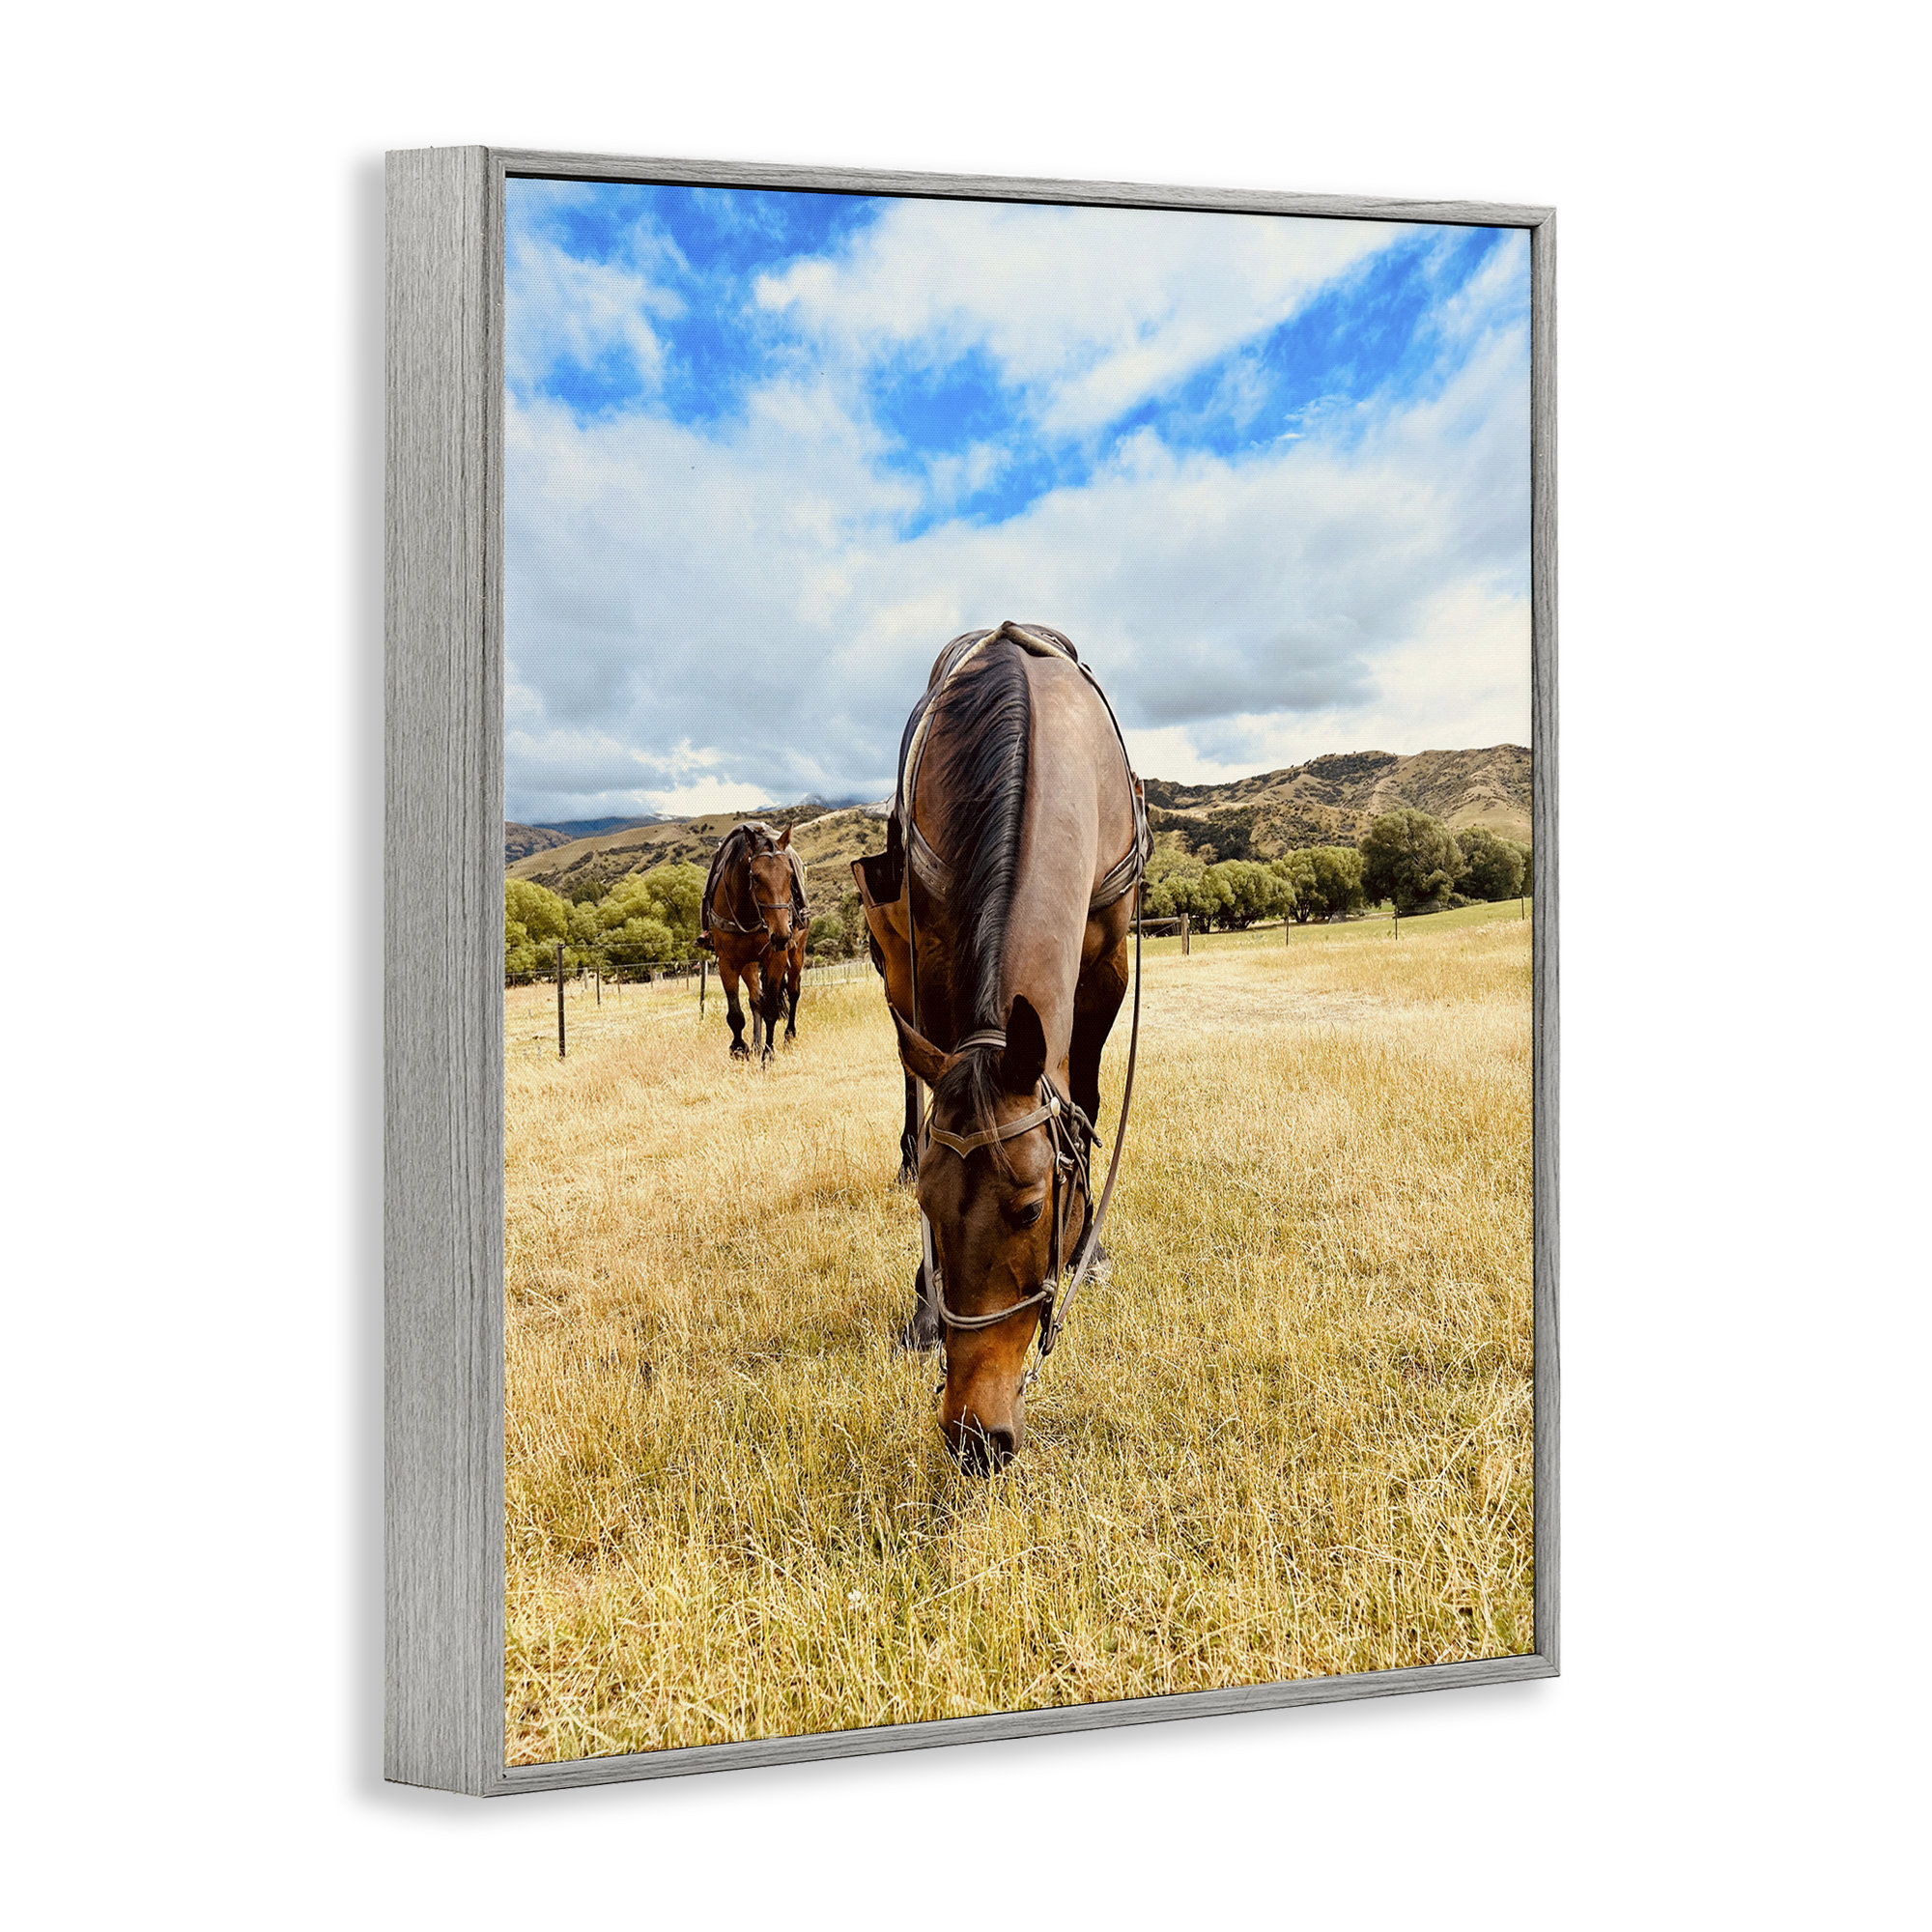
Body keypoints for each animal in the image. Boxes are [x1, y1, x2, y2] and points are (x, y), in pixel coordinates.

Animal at [700, 821, 808, 1062]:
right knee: (755, 999)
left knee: (794, 991)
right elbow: (736, 1014)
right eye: (755, 876)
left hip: (797, 953)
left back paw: (789, 1036)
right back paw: (757, 1043)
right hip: (749, 962)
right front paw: (740, 1049)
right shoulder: (728, 962)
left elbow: (771, 1009)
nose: (781, 935)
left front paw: (768, 1055)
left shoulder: (777, 958)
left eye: (789, 875)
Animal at [853, 622, 1150, 1470]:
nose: (973, 1437)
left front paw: (1090, 1250)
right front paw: (924, 1306)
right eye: (929, 1205)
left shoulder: (1107, 959)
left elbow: (1086, 1099)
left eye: (1030, 1210)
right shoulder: (937, 949)